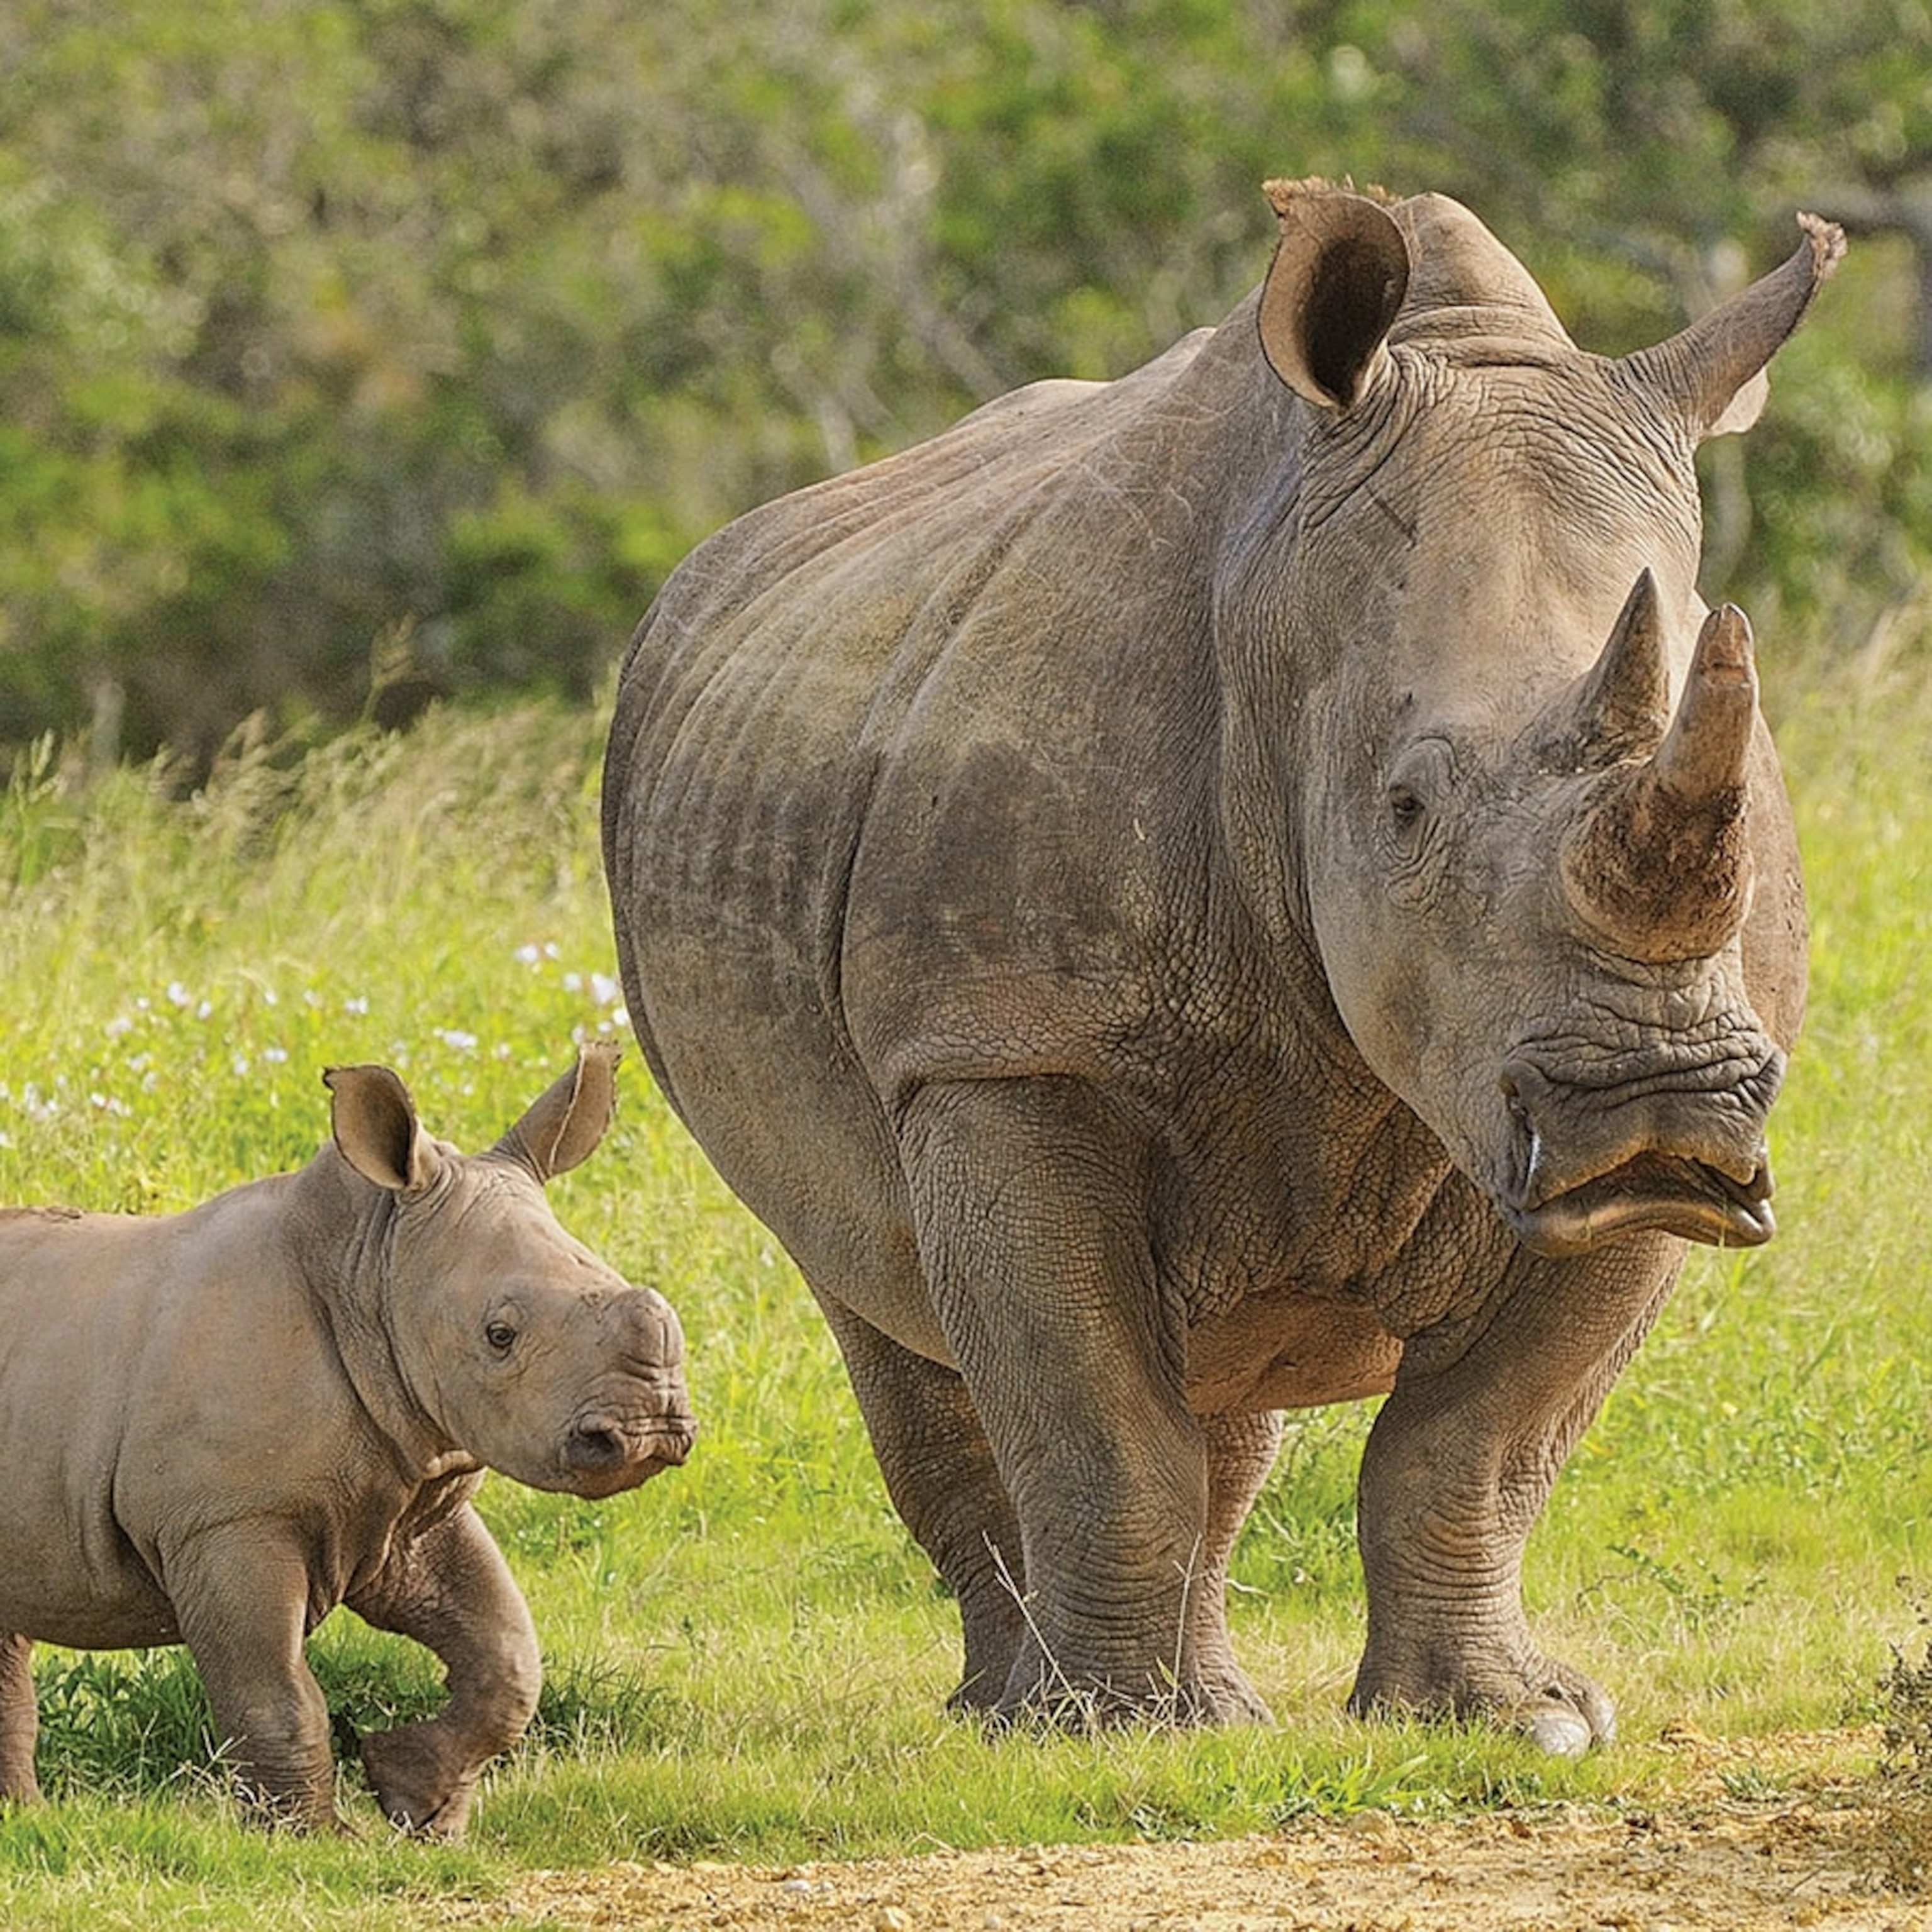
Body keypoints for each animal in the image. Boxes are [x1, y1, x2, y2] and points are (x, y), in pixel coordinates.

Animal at [0, 1043, 693, 1834]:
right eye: (500, 1335)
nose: (652, 1430)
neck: (370, 1272)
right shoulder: (227, 1520)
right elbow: (276, 1694)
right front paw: (310, 1840)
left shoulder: (412, 1489)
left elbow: (508, 1655)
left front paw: (419, 1808)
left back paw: (22, 1818)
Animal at [601, 180, 1841, 1751]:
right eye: (1405, 807)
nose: (1657, 1107)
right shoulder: (1002, 1049)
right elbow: (1096, 1422)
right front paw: (1097, 1738)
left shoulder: (1647, 1129)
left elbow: (1481, 1446)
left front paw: (1510, 1724)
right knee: (879, 1295)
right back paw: (1025, 1715)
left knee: (1223, 1389)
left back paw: (1210, 1714)